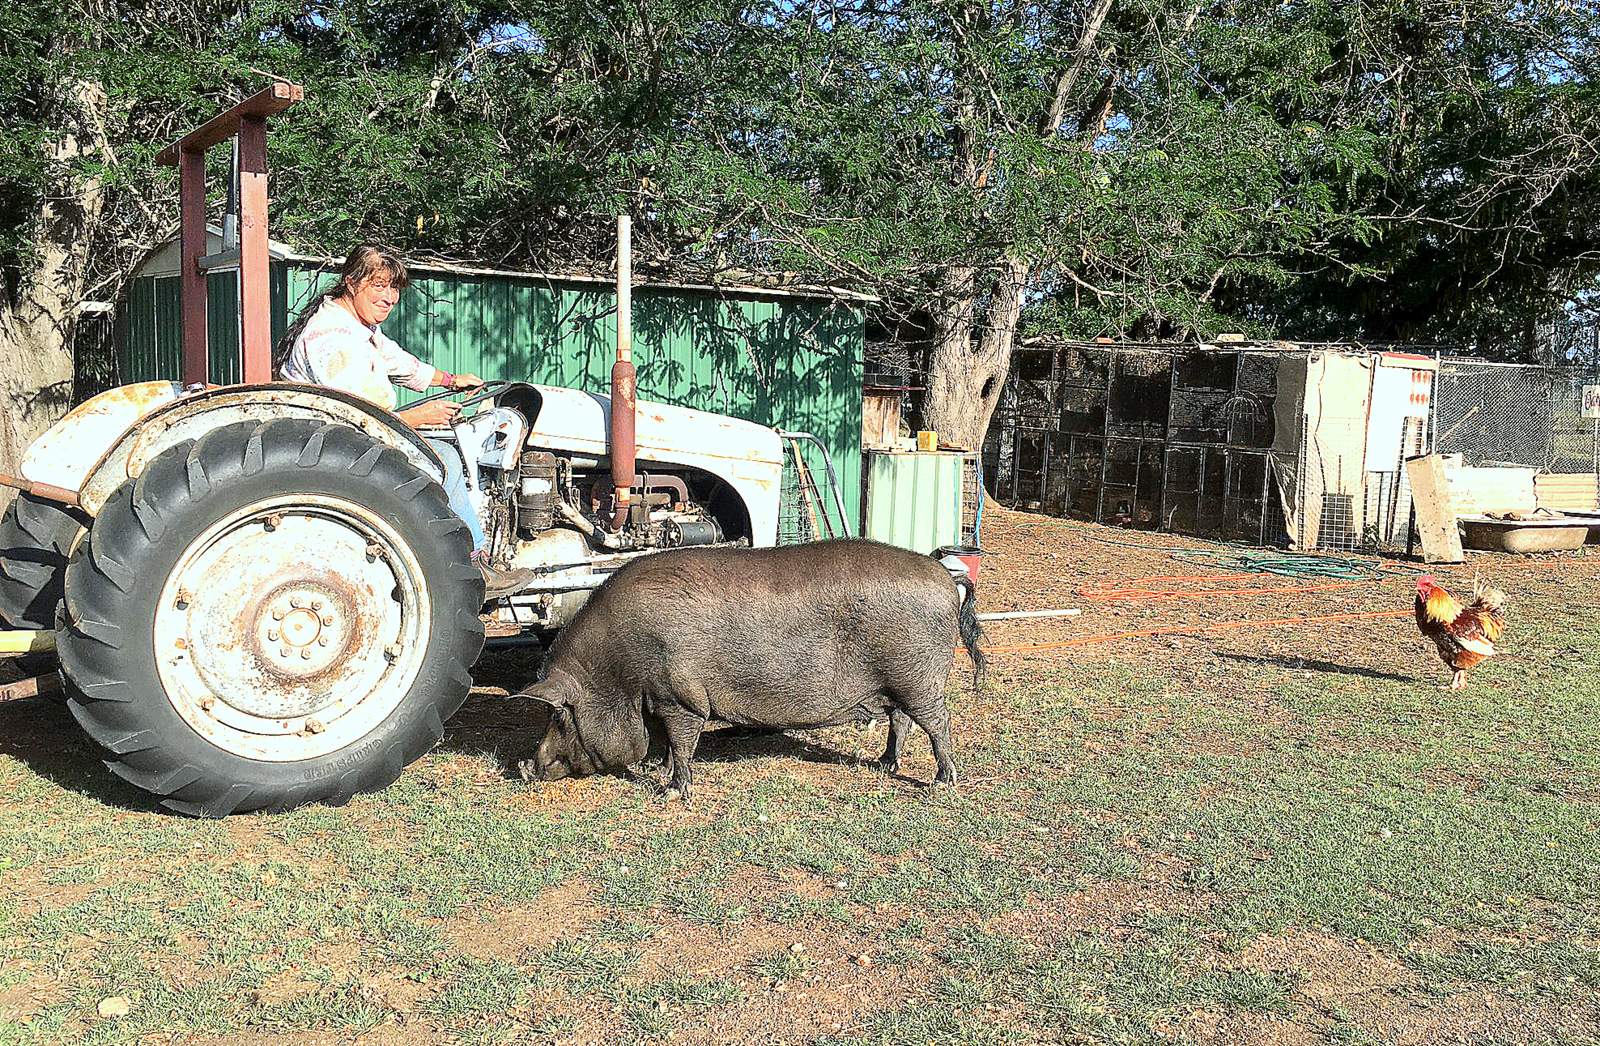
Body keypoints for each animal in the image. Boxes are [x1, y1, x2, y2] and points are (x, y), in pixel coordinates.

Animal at [517, 538, 985, 799]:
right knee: (900, 721)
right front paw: (657, 770)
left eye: (559, 715)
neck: (620, 673)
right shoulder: (660, 700)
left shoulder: (680, 698)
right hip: (897, 684)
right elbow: (667, 743)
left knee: (938, 723)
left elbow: (682, 743)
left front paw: (672, 792)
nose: (526, 768)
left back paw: (942, 782)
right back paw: (884, 765)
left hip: (919, 677)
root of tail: (944, 574)